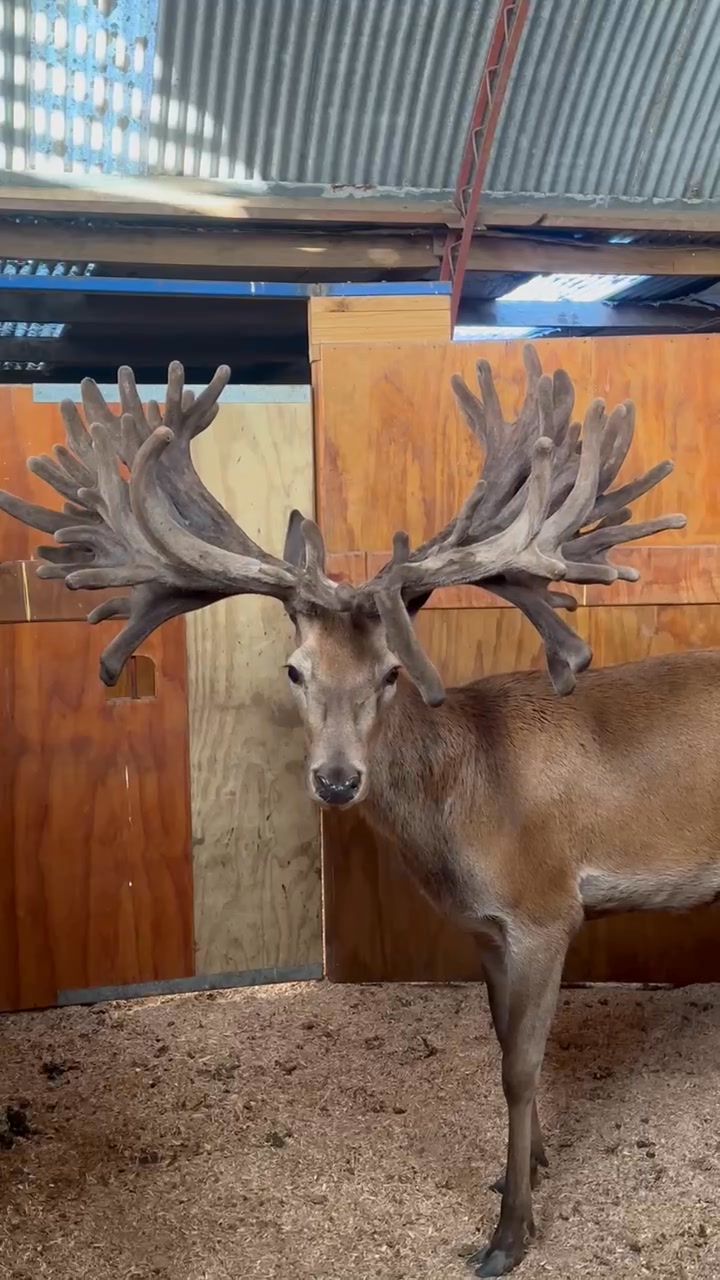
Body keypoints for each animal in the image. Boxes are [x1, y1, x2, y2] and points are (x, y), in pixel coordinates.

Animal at [1, 344, 714, 1276]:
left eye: (391, 672)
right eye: (295, 669)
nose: (337, 781)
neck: (468, 807)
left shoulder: (544, 908)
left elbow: (520, 1069)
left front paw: (510, 1232)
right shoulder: (485, 926)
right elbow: (499, 1044)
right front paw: (524, 1169)